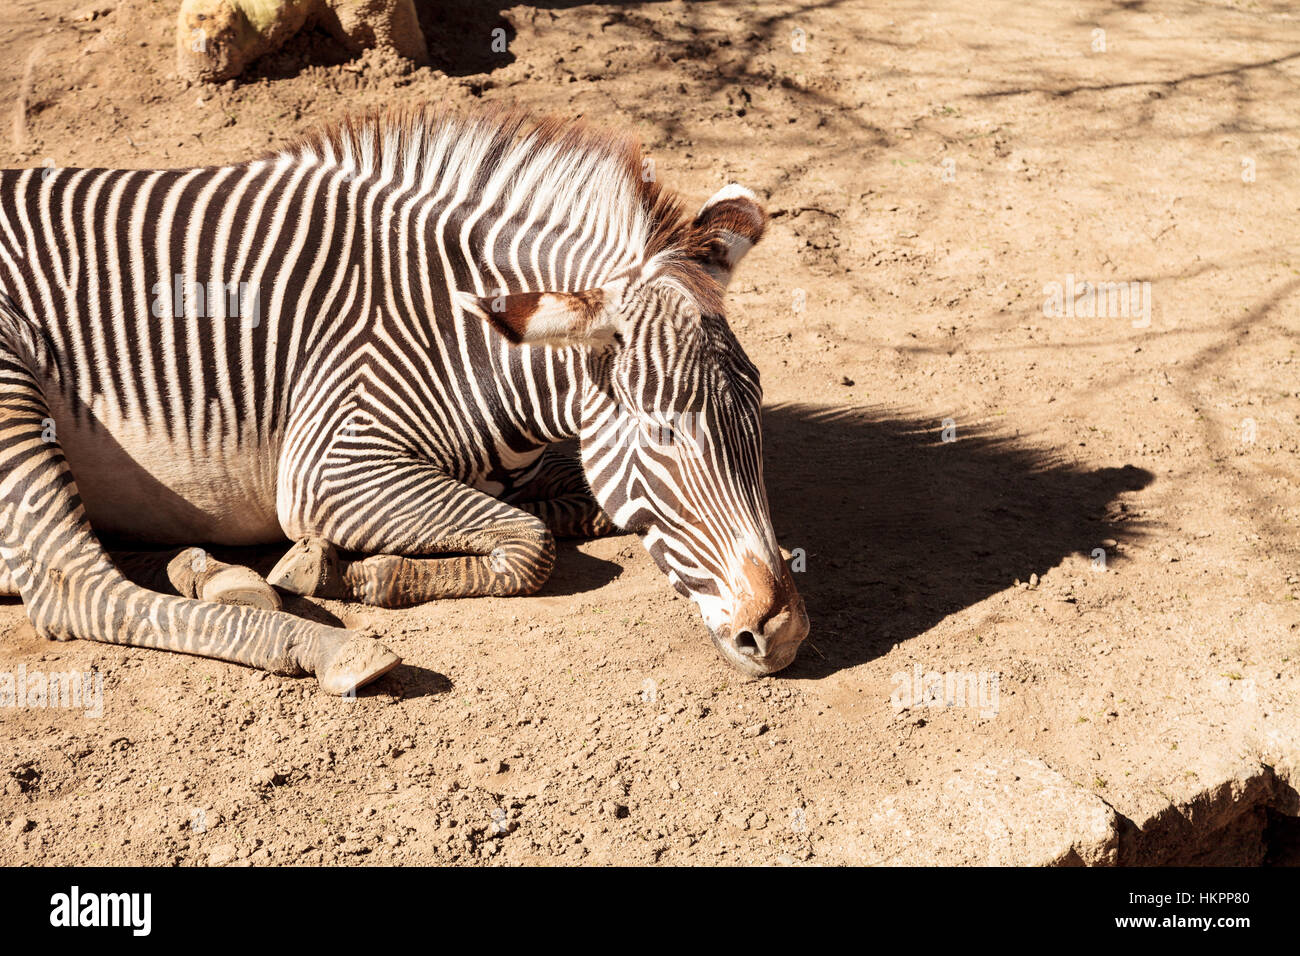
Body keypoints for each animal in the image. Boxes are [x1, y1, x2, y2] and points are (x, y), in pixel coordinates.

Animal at [0, 107, 808, 695]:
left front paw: (335, 564)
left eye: (757, 417)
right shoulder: (332, 463)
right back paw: (322, 642)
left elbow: (574, 508)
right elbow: (531, 544)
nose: (784, 633)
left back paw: (214, 574)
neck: (457, 328)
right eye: (663, 434)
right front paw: (353, 572)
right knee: (77, 590)